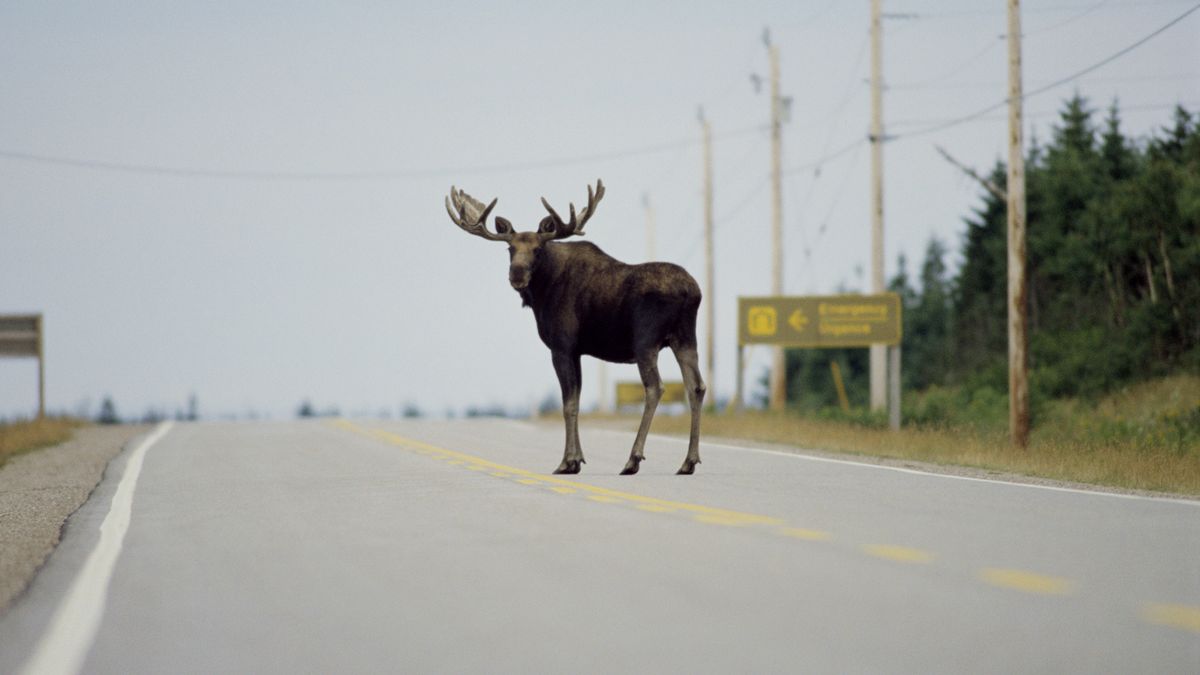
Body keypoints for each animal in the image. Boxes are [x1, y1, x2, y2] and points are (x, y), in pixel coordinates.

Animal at [444, 179, 705, 475]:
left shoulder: (561, 346)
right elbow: (577, 400)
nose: (517, 274)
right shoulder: (577, 351)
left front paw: (566, 462)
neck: (541, 292)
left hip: (646, 341)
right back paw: (688, 461)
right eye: (509, 249)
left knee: (655, 387)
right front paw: (577, 459)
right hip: (685, 337)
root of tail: (691, 292)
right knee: (696, 386)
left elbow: (568, 404)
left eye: (537, 250)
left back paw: (633, 459)